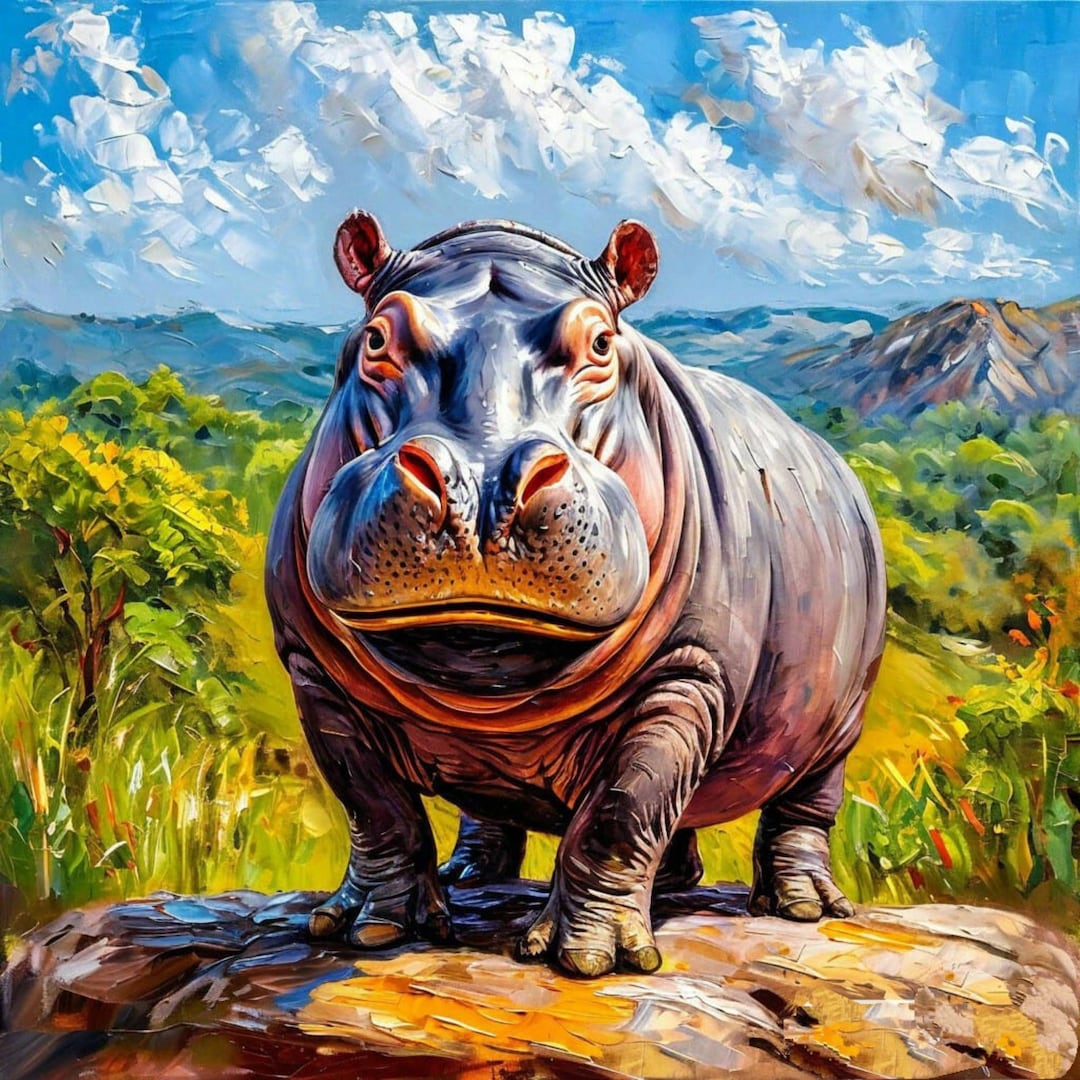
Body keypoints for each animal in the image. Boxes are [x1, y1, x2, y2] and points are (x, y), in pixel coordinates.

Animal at [265, 211, 886, 978]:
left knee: (804, 801)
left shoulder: (687, 677)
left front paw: (590, 961)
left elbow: (624, 808)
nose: (481, 482)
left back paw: (805, 907)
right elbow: (373, 802)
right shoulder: (313, 674)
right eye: (376, 339)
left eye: (600, 342)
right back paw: (479, 877)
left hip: (842, 716)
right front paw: (372, 931)